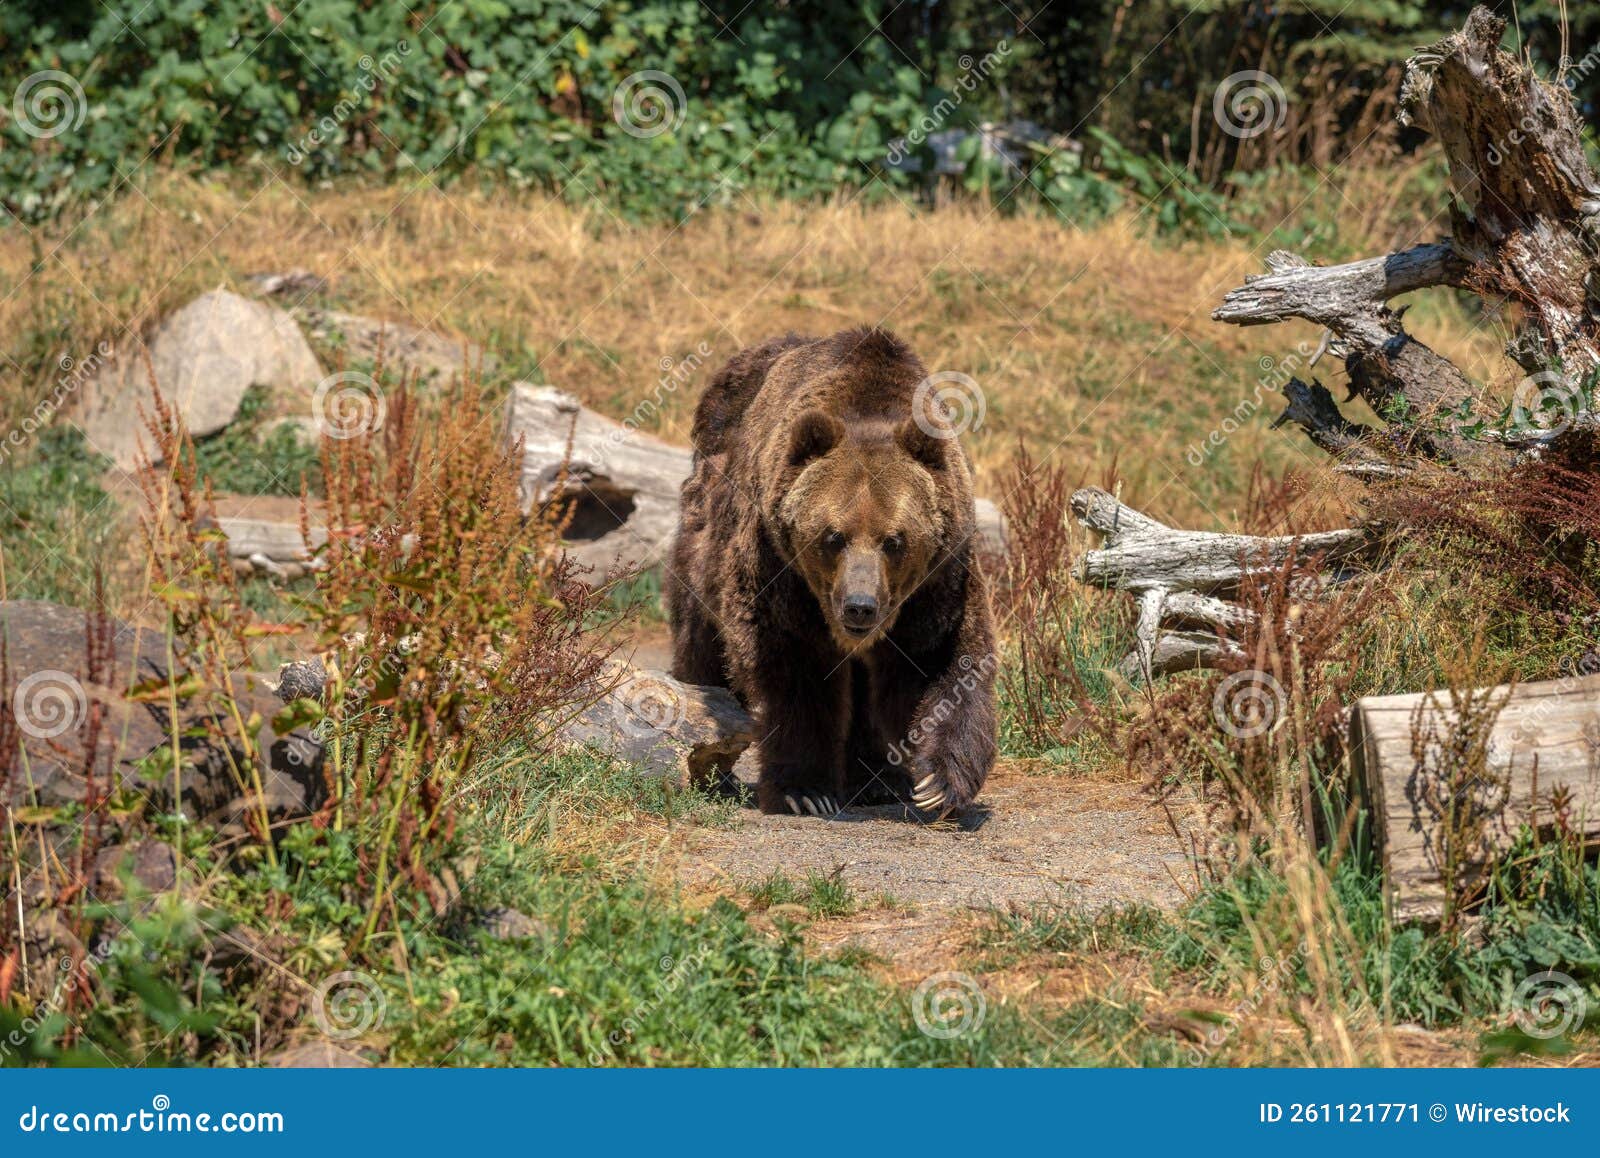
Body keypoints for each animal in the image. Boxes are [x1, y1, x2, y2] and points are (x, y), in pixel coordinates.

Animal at [666, 327, 997, 818]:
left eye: (894, 540)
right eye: (833, 536)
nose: (860, 607)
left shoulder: (938, 582)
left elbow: (941, 660)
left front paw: (938, 781)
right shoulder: (780, 568)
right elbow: (795, 670)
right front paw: (805, 790)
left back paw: (878, 781)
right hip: (708, 528)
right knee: (701, 638)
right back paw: (710, 756)